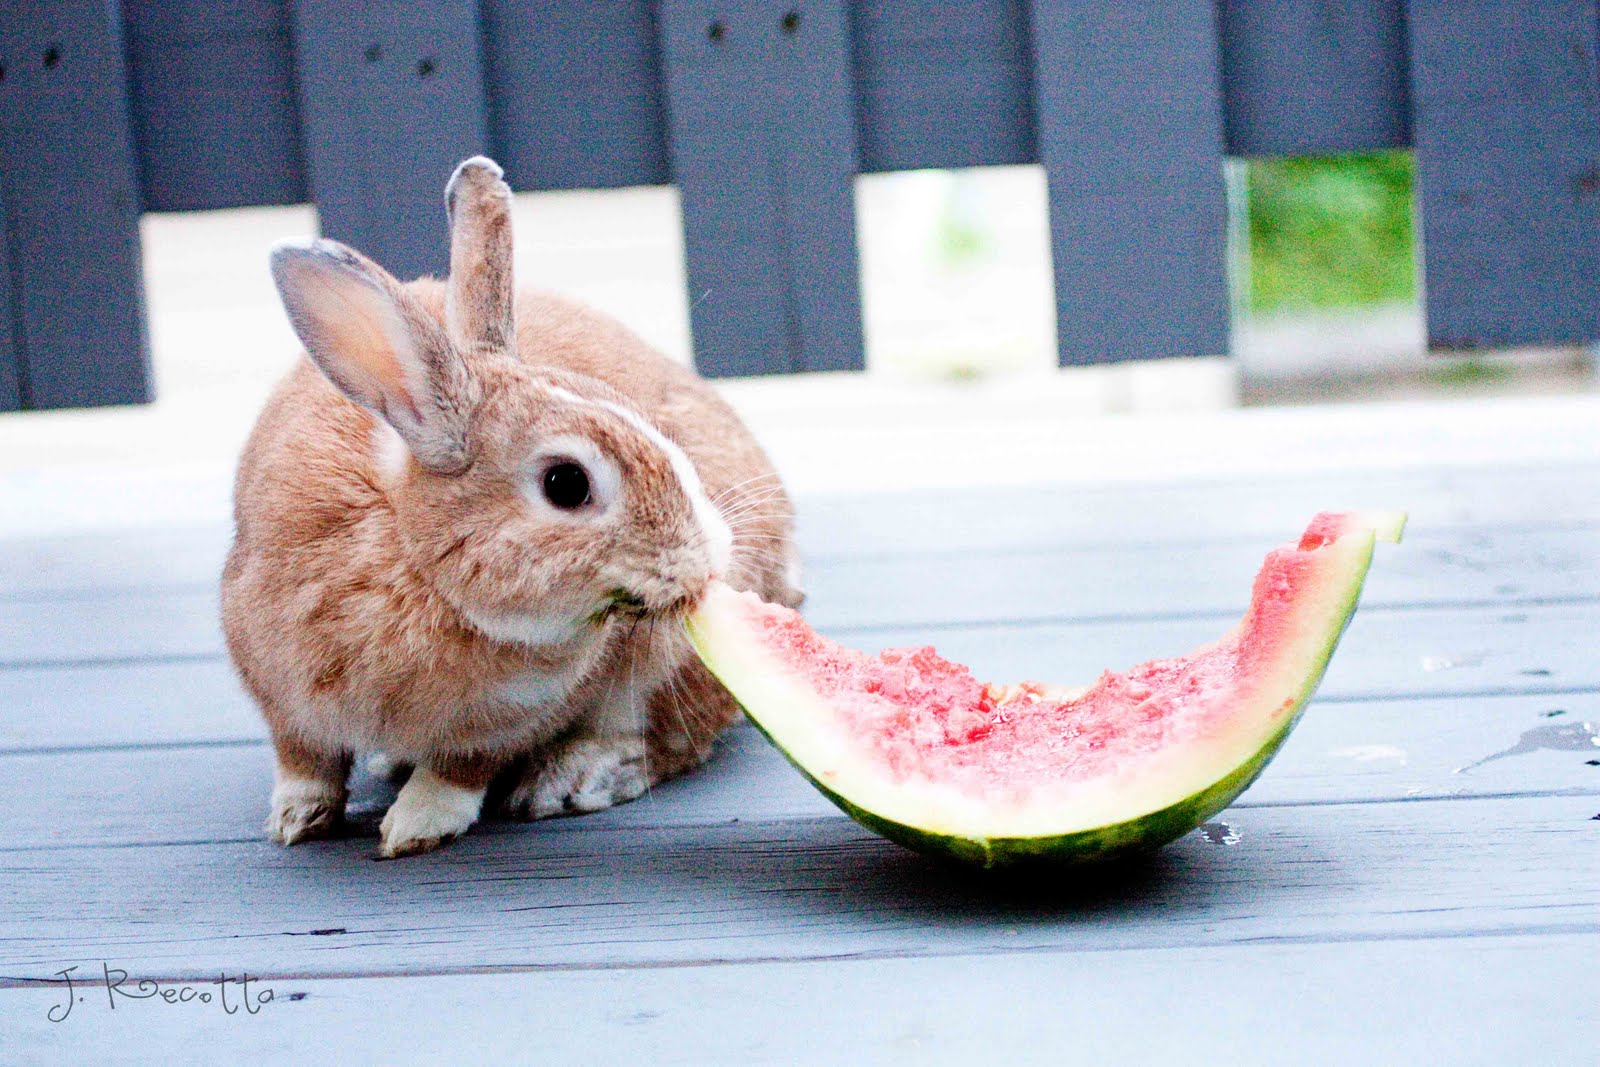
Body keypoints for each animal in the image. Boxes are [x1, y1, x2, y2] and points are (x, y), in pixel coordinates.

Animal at [221, 157, 803, 858]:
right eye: (566, 484)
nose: (709, 561)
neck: (417, 565)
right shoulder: (279, 692)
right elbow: (304, 762)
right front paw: (295, 820)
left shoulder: (501, 726)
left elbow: (456, 774)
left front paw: (415, 828)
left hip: (664, 667)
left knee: (667, 732)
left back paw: (572, 779)